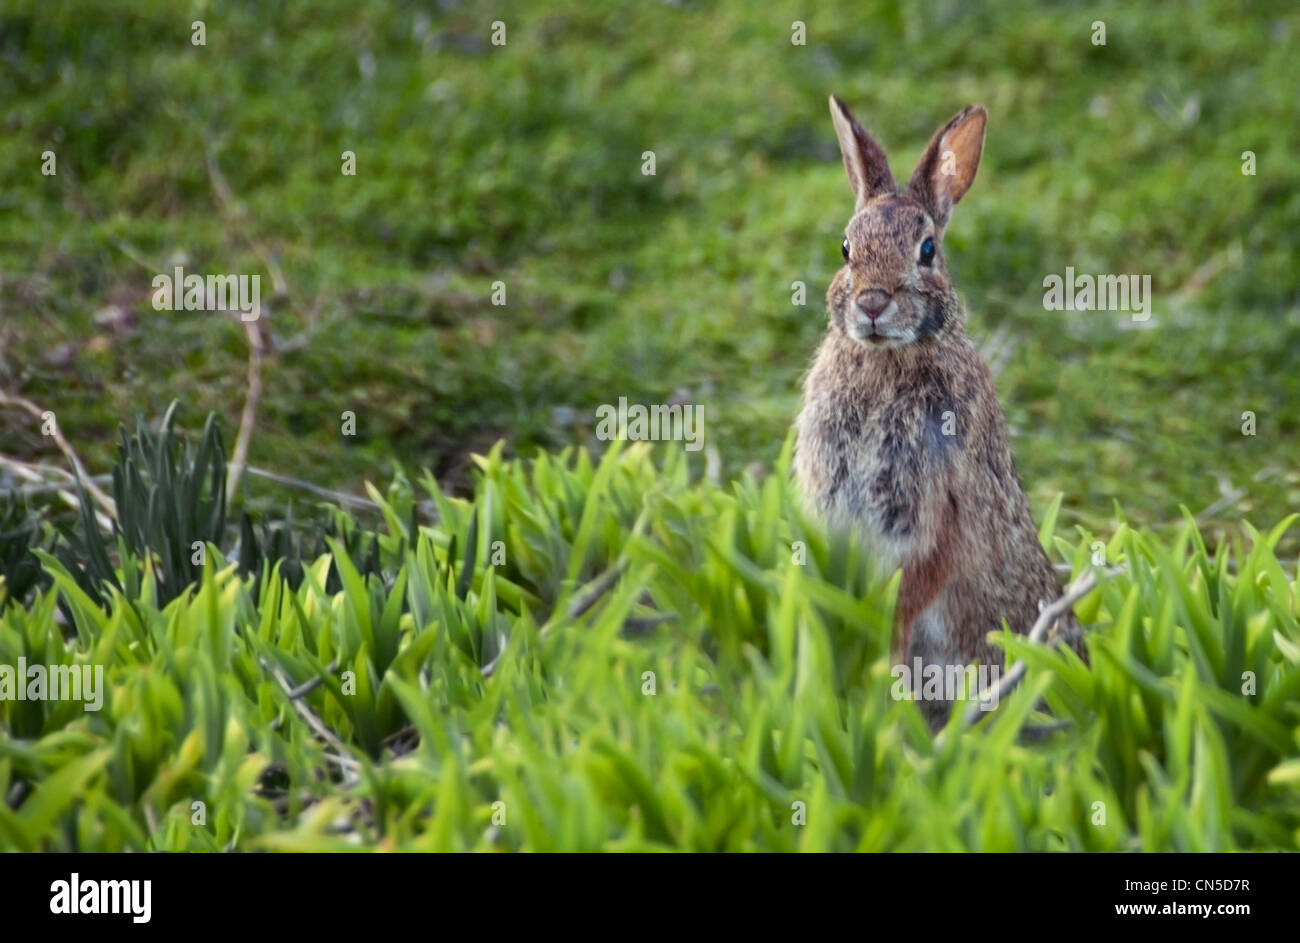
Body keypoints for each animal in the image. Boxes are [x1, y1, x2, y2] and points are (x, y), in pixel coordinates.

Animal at [794, 96, 1082, 726]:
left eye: (927, 251)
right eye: (846, 248)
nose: (872, 303)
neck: (888, 356)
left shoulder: (932, 515)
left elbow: (909, 598)